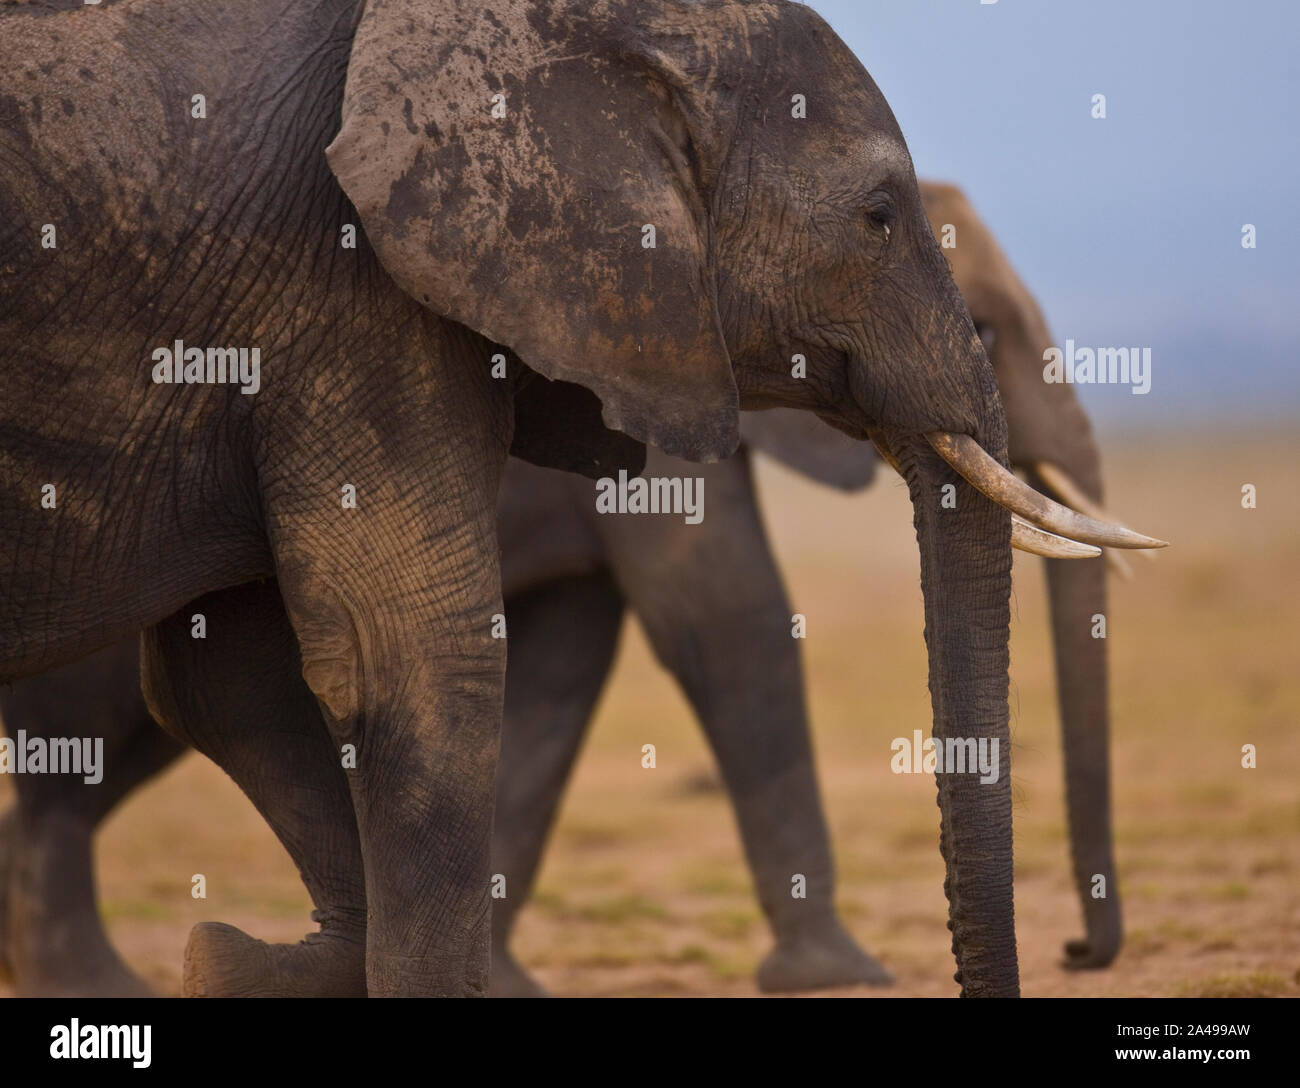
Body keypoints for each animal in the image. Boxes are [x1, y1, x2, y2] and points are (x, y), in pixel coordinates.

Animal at [0, 0, 1164, 996]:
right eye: (879, 218)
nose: (1076, 950)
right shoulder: (357, 308)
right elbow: (647, 632)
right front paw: (840, 975)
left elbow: (263, 671)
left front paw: (271, 963)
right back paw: (90, 985)